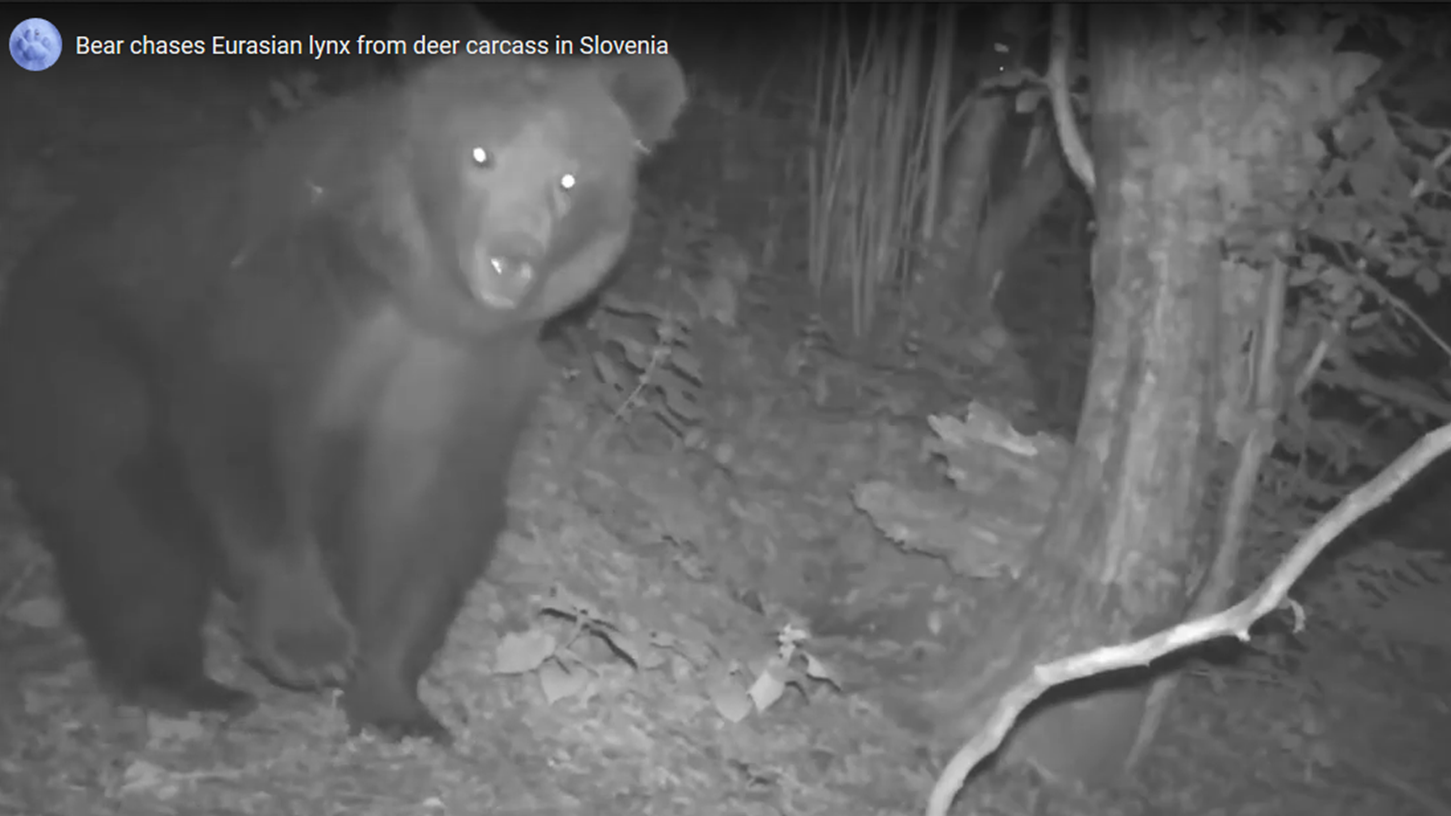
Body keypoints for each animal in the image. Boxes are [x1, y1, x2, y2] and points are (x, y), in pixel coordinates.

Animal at [0, 4, 686, 742]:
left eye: (569, 180)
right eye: (481, 155)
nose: (512, 258)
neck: (419, 298)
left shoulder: (468, 375)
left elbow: (430, 517)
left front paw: (394, 702)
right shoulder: (292, 303)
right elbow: (238, 426)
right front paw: (310, 643)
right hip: (86, 353)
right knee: (129, 521)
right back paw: (181, 681)